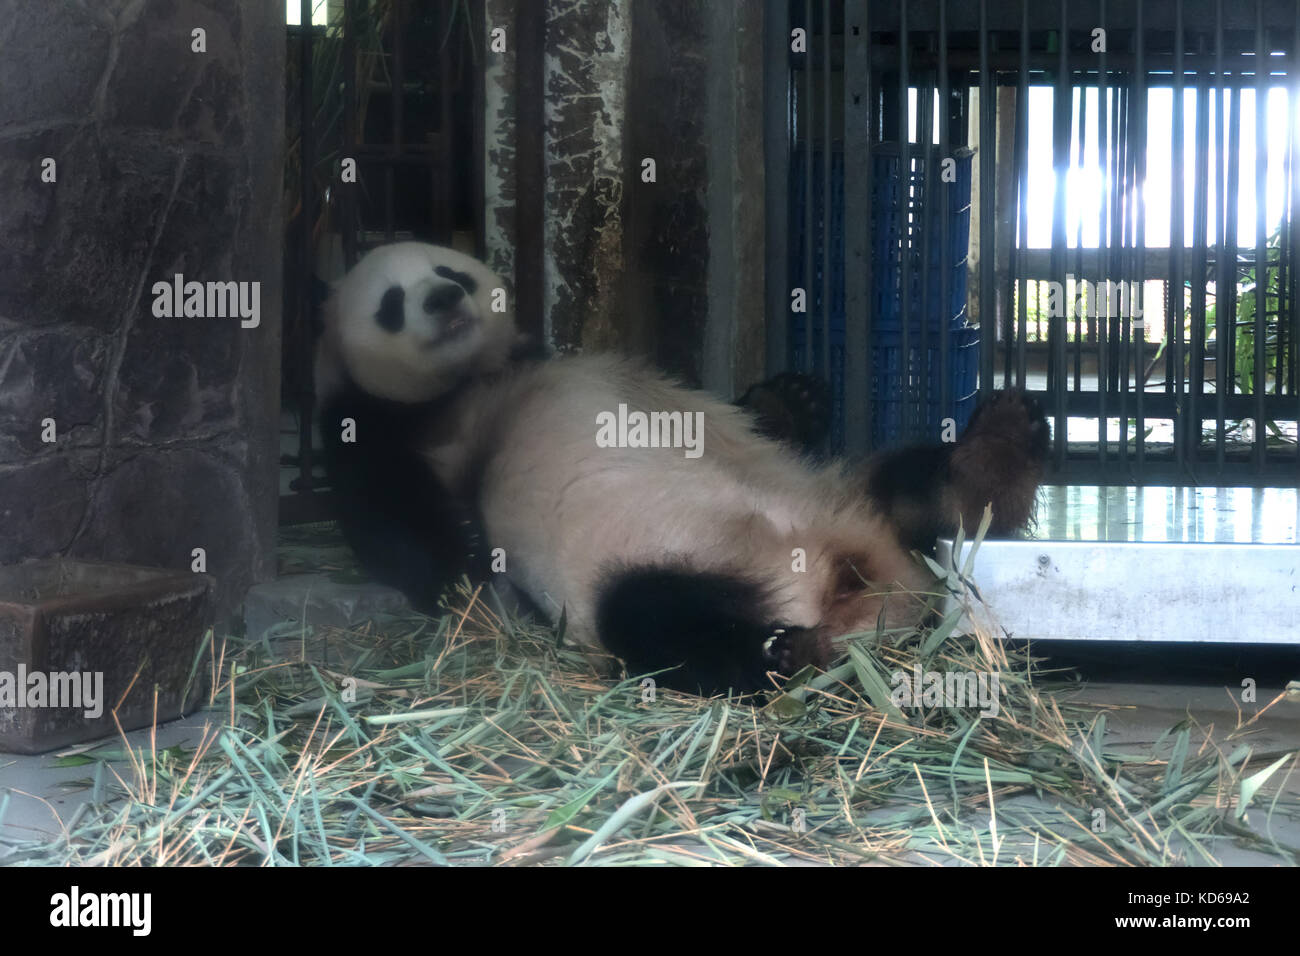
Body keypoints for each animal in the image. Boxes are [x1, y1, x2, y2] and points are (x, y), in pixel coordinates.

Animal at [315, 242, 1048, 695]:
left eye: (452, 271)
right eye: (390, 303)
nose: (442, 299)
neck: (470, 381)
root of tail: (856, 592)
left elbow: (751, 415)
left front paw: (794, 396)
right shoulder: (377, 428)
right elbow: (396, 530)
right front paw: (462, 563)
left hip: (843, 497)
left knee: (911, 487)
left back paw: (995, 452)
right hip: (637, 567)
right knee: (658, 621)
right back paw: (782, 653)